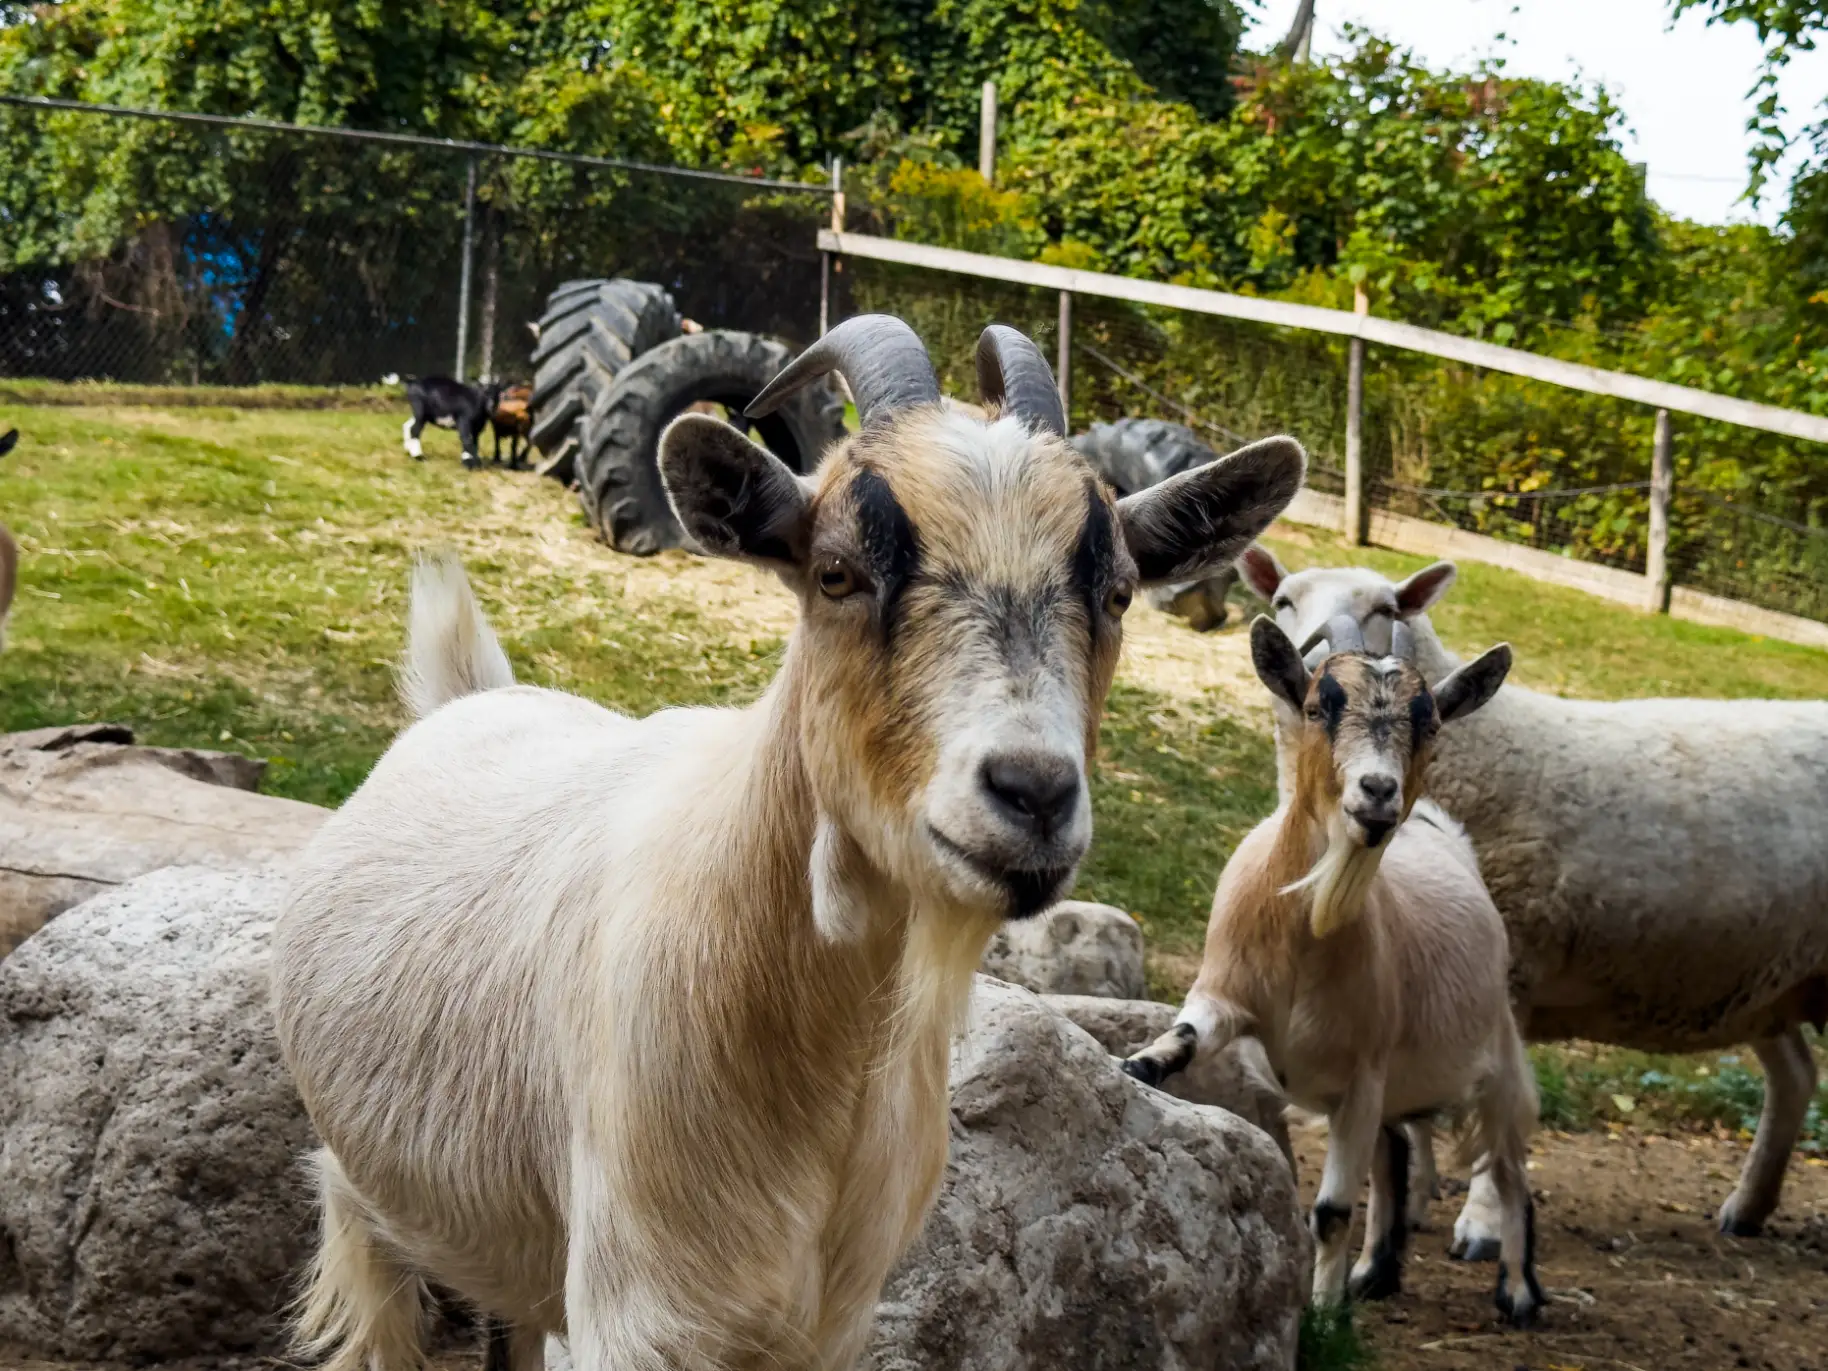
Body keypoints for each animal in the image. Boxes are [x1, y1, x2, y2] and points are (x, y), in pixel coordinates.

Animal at [271, 316, 1306, 1371]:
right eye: (836, 572)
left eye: (1121, 592)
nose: (1033, 791)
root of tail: (470, 693)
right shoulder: (637, 1312)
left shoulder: (834, 1322)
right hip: (362, 1200)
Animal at [1123, 613, 1541, 1325]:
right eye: (1319, 707)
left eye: (1429, 724)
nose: (1377, 792)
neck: (1309, 928)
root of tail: (1443, 835)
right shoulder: (1226, 990)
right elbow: (1183, 1034)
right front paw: (1138, 1065)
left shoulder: (1362, 1077)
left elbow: (1331, 1211)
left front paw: (1320, 1313)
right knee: (1397, 1151)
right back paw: (1375, 1273)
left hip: (1495, 1057)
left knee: (1508, 1167)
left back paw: (1515, 1292)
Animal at [1240, 545, 1828, 1249]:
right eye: (1284, 600)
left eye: (1386, 608)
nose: (1311, 661)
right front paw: (1415, 1197)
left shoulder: (1511, 963)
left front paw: (1481, 1223)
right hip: (1771, 981)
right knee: (1795, 1076)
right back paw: (1748, 1208)